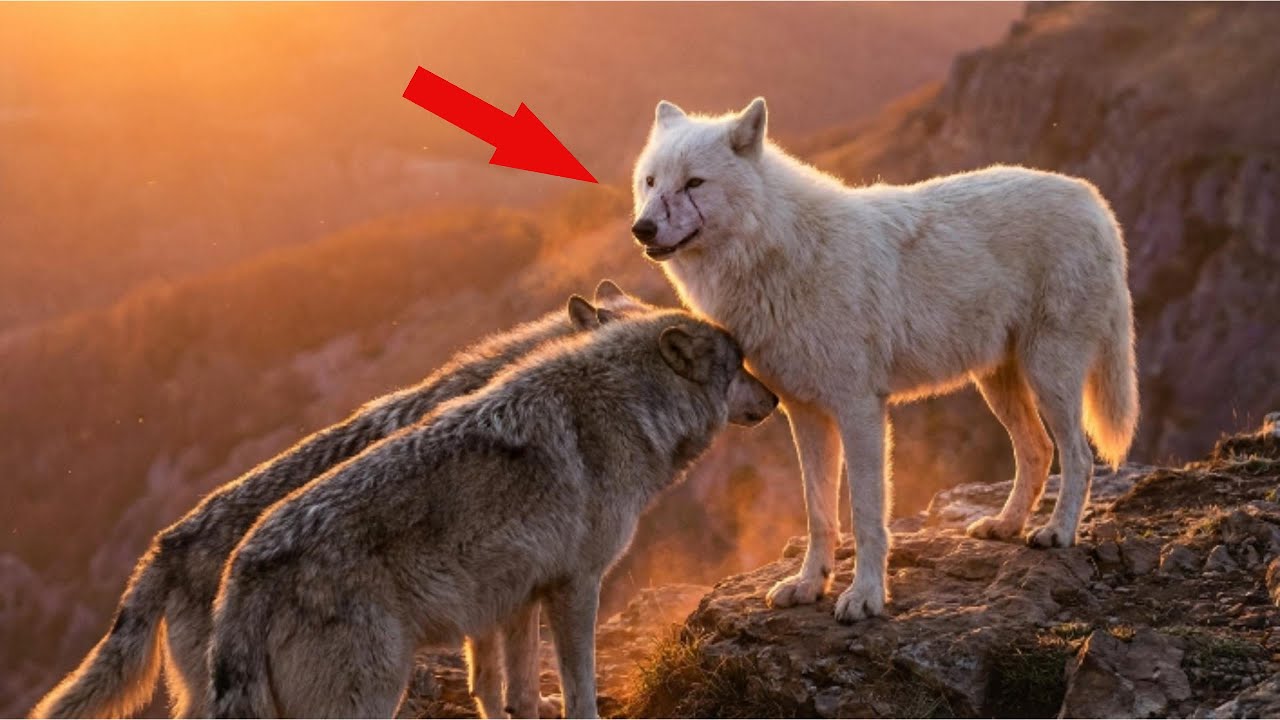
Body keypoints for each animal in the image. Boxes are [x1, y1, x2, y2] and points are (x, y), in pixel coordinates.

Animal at [206, 308, 777, 719]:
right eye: (739, 366)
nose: (775, 398)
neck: (633, 408)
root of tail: (244, 571)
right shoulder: (577, 584)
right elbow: (579, 688)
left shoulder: (517, 595)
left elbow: (514, 690)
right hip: (368, 695)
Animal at [629, 98, 1138, 623]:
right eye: (651, 181)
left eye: (694, 183)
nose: (641, 228)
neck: (780, 251)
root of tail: (1093, 200)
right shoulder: (805, 414)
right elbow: (818, 513)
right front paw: (808, 585)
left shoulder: (860, 410)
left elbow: (866, 515)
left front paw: (865, 596)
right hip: (998, 383)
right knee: (1037, 450)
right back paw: (1005, 525)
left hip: (1049, 374)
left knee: (1078, 456)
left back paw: (1058, 532)